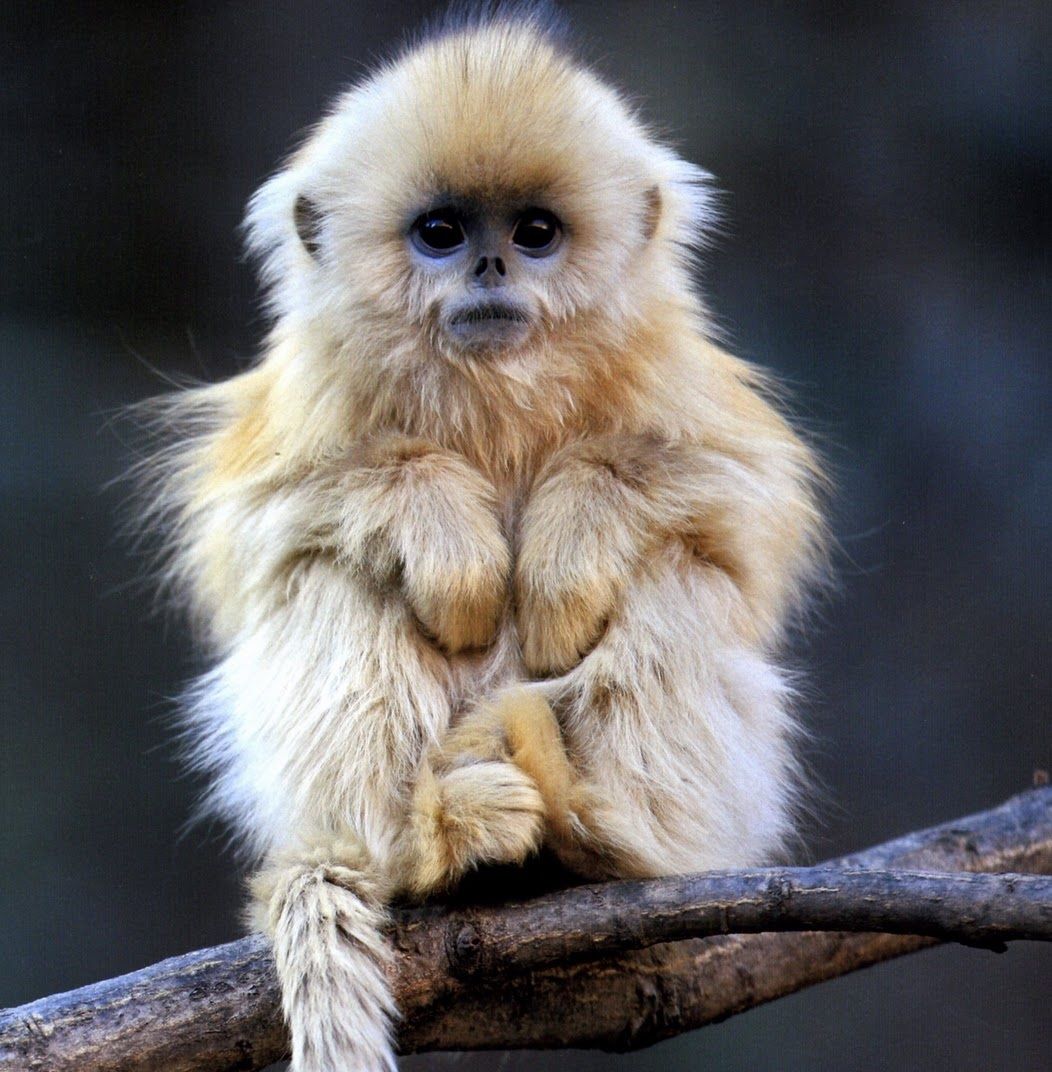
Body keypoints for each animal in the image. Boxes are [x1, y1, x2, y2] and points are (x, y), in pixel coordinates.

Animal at [137, 5, 825, 1070]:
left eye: (535, 232)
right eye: (442, 232)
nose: (491, 265)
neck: (495, 391)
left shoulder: (677, 380)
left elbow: (741, 508)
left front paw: (560, 562)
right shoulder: (306, 402)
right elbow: (257, 531)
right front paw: (452, 546)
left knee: (680, 571)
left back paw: (606, 837)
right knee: (329, 575)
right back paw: (431, 843)